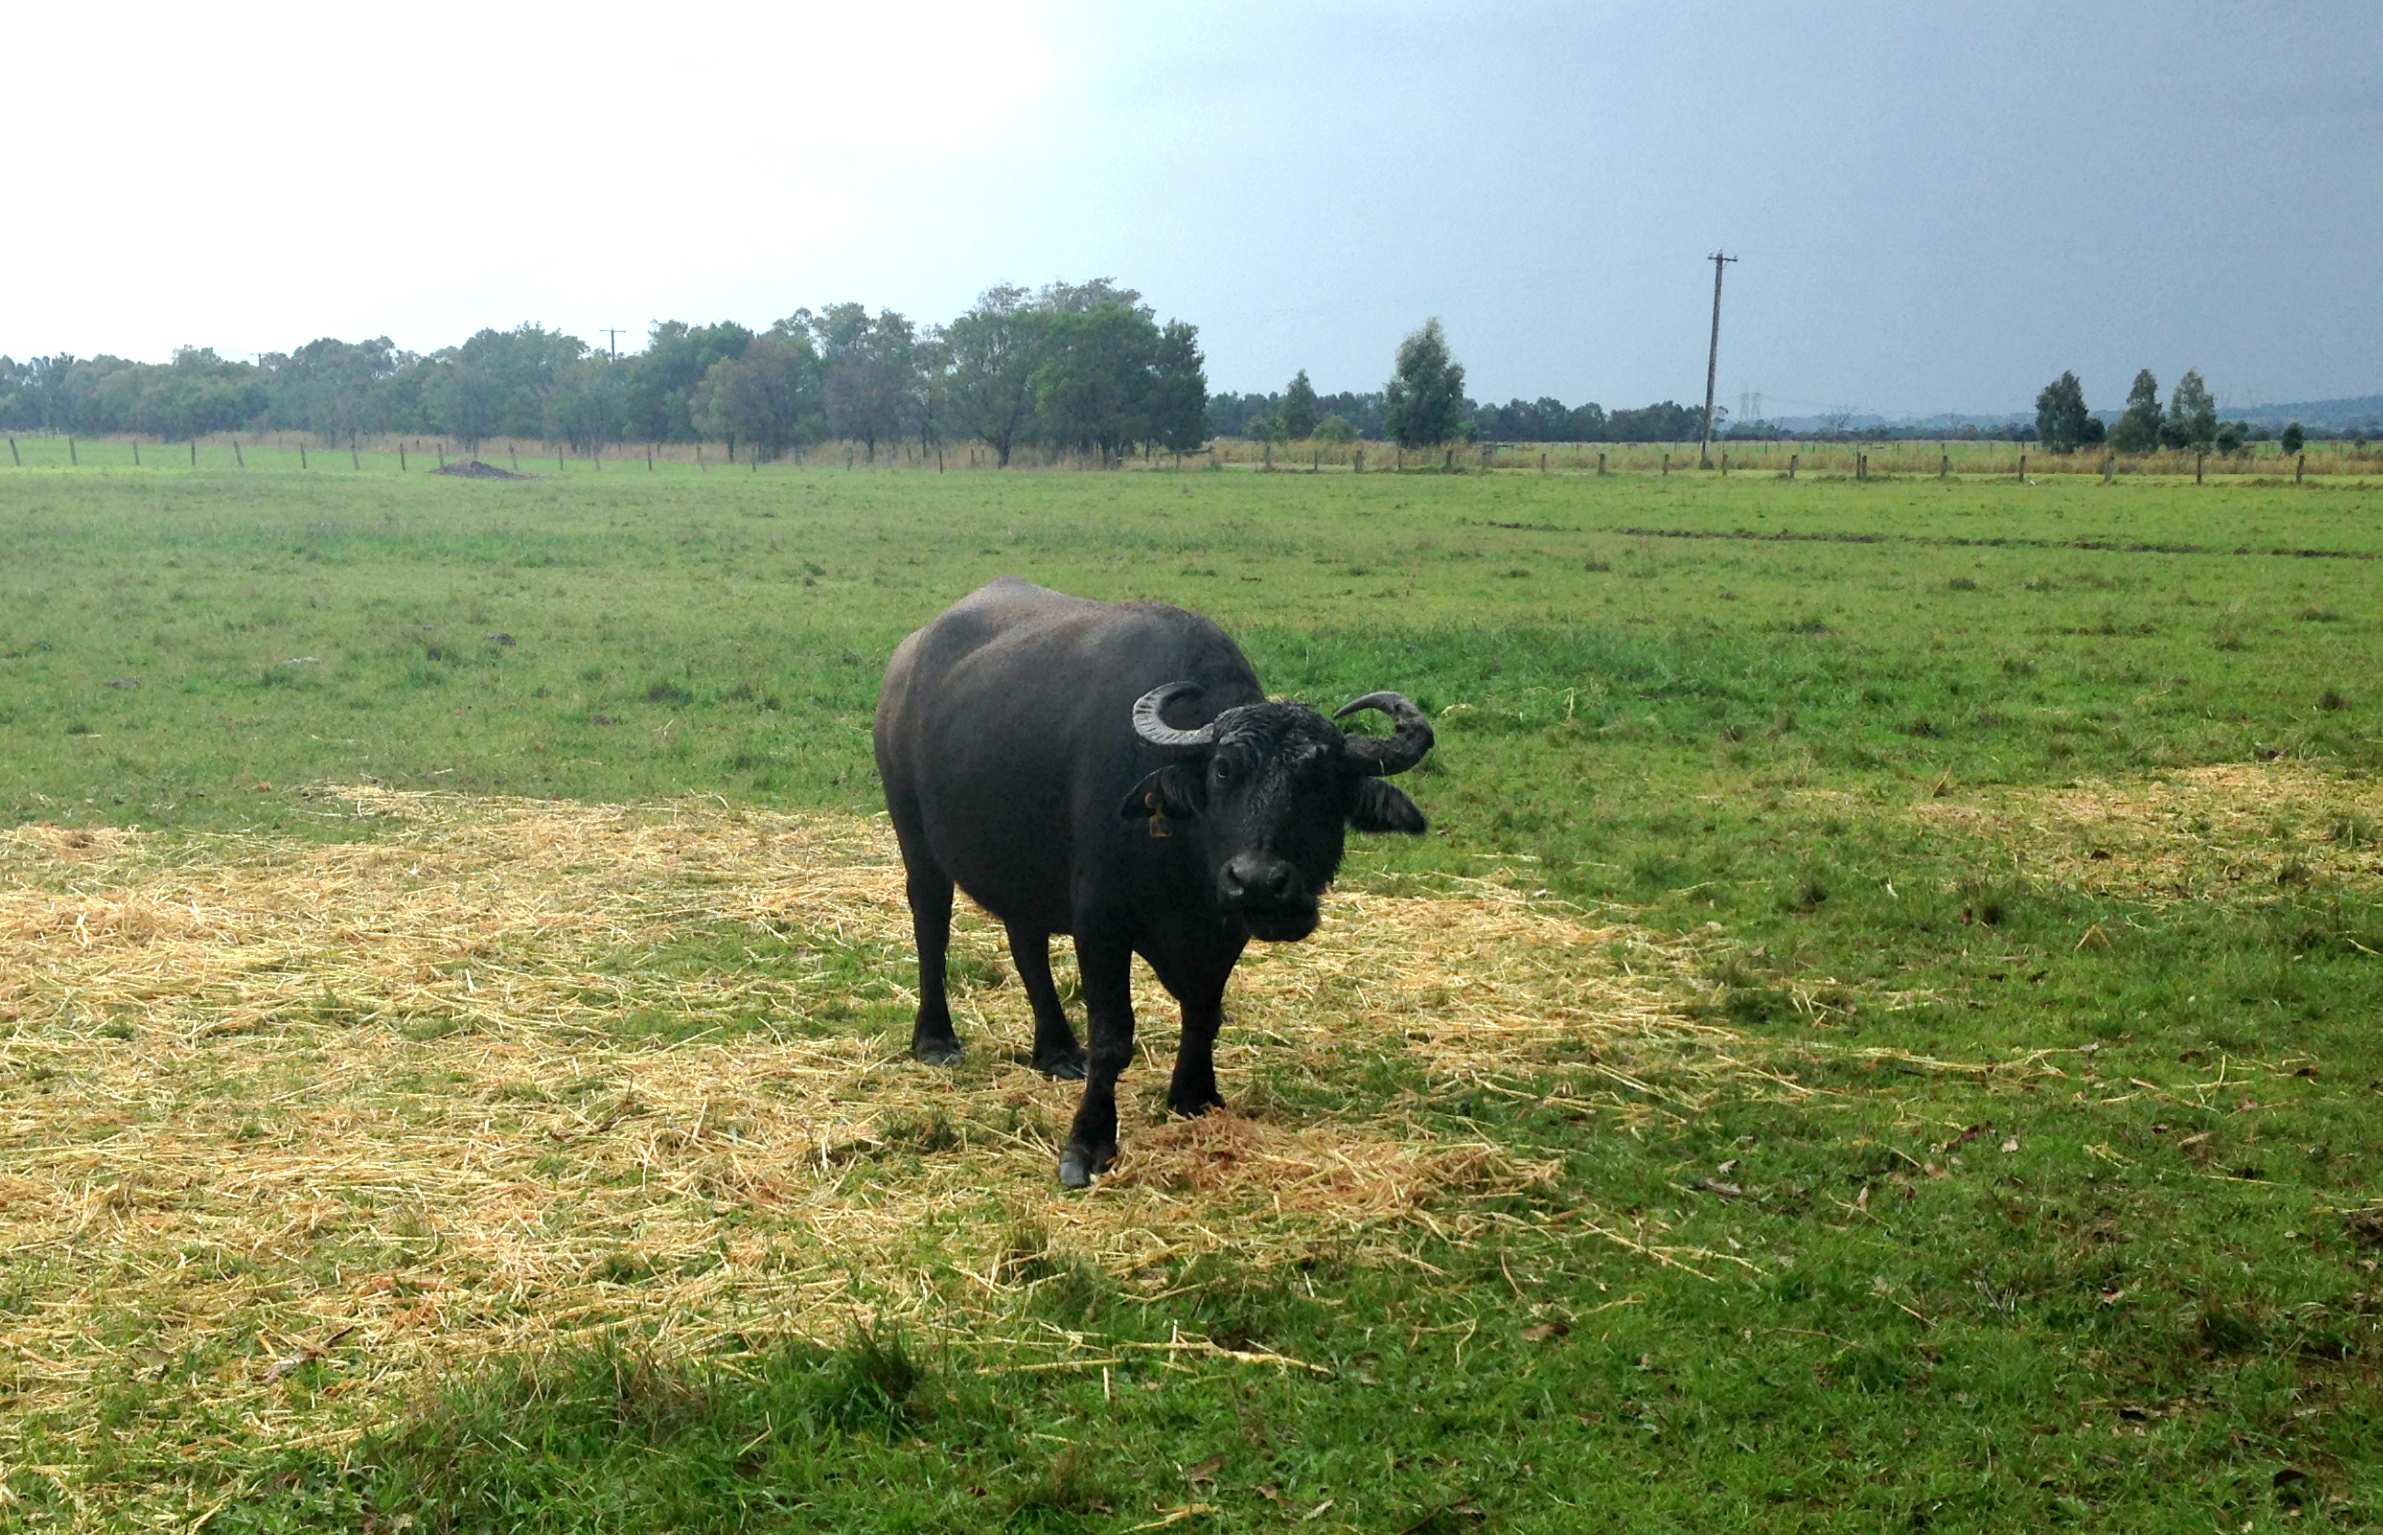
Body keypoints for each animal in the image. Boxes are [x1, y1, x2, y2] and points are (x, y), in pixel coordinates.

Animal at [873, 578, 1434, 1186]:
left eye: (1323, 784)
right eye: (1222, 772)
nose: (1259, 882)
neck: (1182, 855)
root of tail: (907, 660)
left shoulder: (1223, 928)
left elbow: (1205, 1012)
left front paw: (1195, 1095)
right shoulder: (1100, 922)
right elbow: (1113, 1036)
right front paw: (1088, 1142)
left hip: (1025, 869)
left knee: (1027, 946)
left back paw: (1056, 1050)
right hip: (916, 836)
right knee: (932, 926)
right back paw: (936, 1038)